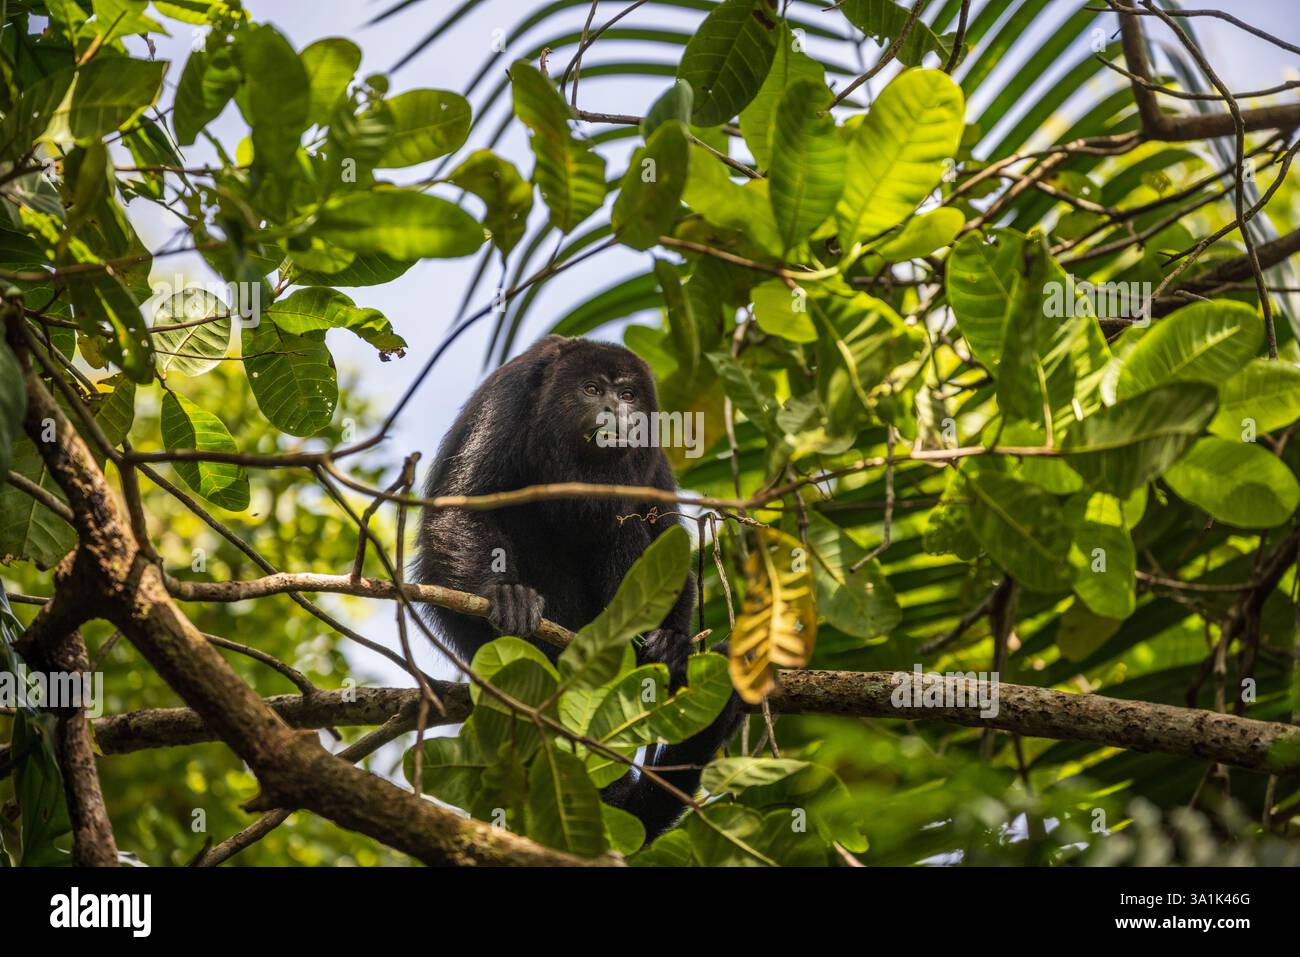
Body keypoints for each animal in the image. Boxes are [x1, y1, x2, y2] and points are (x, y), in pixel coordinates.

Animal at [413, 334, 742, 840]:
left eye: (628, 396)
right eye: (591, 389)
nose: (614, 411)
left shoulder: (652, 455)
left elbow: (666, 545)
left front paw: (673, 643)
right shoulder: (509, 399)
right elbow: (463, 507)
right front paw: (504, 593)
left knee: (622, 525)